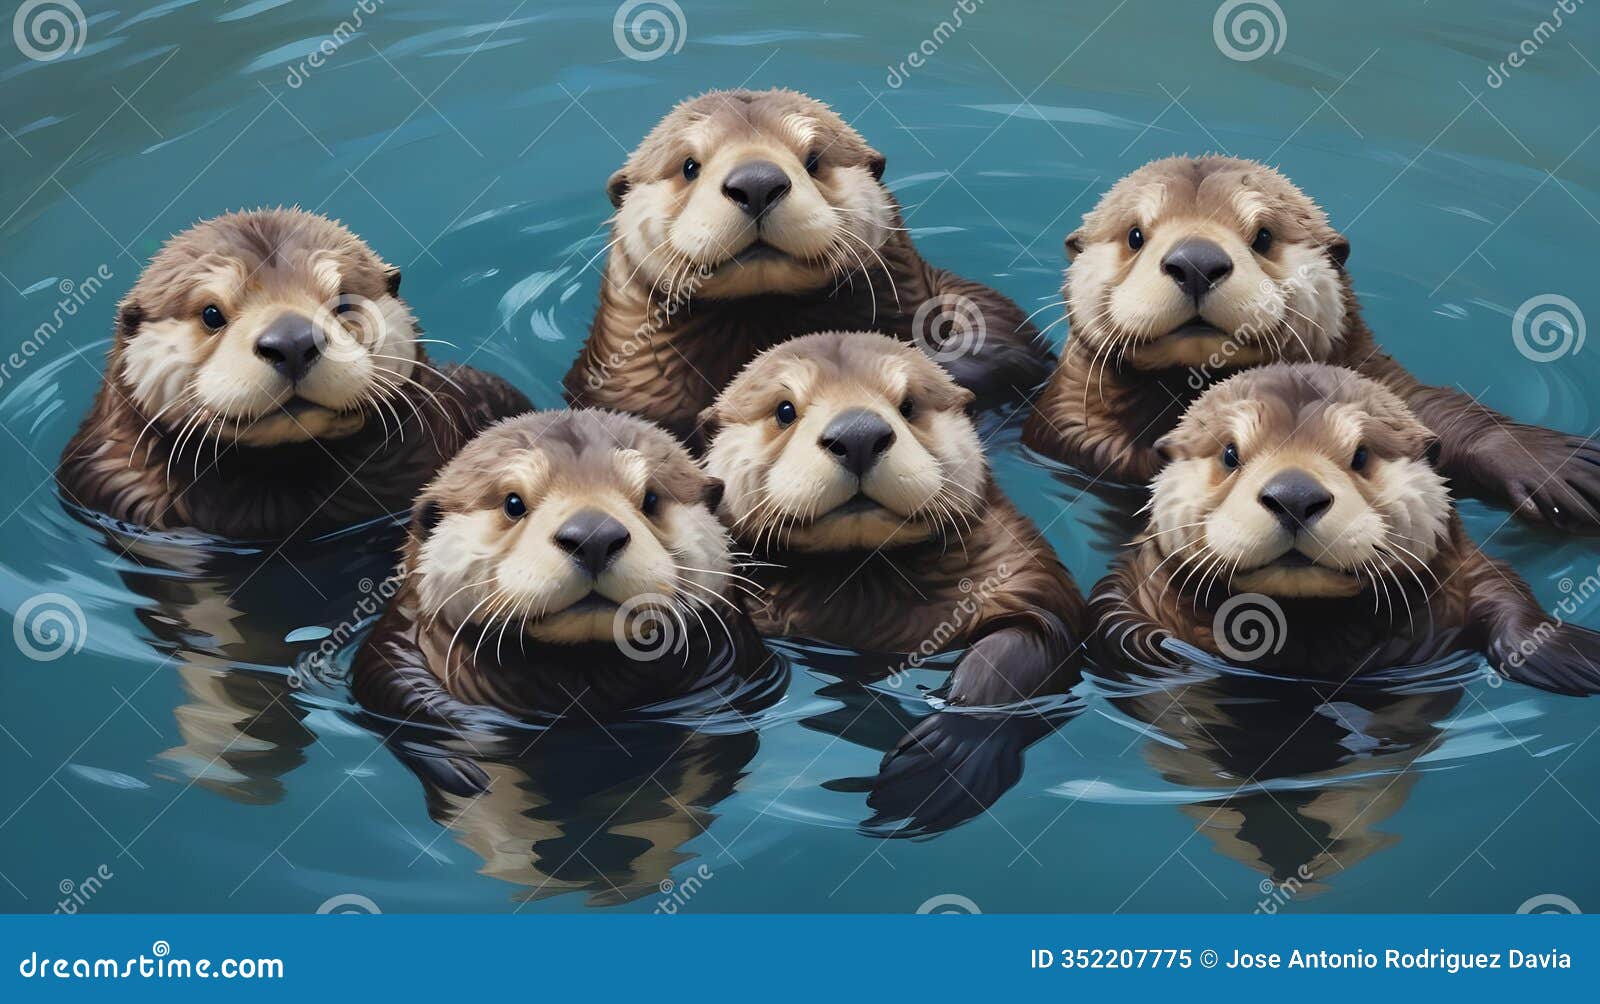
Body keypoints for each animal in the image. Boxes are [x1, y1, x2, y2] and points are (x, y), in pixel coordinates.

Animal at [1024, 156, 1600, 534]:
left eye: (1262, 236)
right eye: (1135, 235)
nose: (1195, 260)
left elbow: (1439, 414)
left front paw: (1550, 464)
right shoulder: (1072, 417)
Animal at [1089, 362, 1600, 695]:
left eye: (1361, 455)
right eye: (1230, 454)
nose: (1294, 495)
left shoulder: (1463, 569)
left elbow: (1508, 596)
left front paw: (1578, 657)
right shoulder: (1136, 580)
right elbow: (1114, 615)